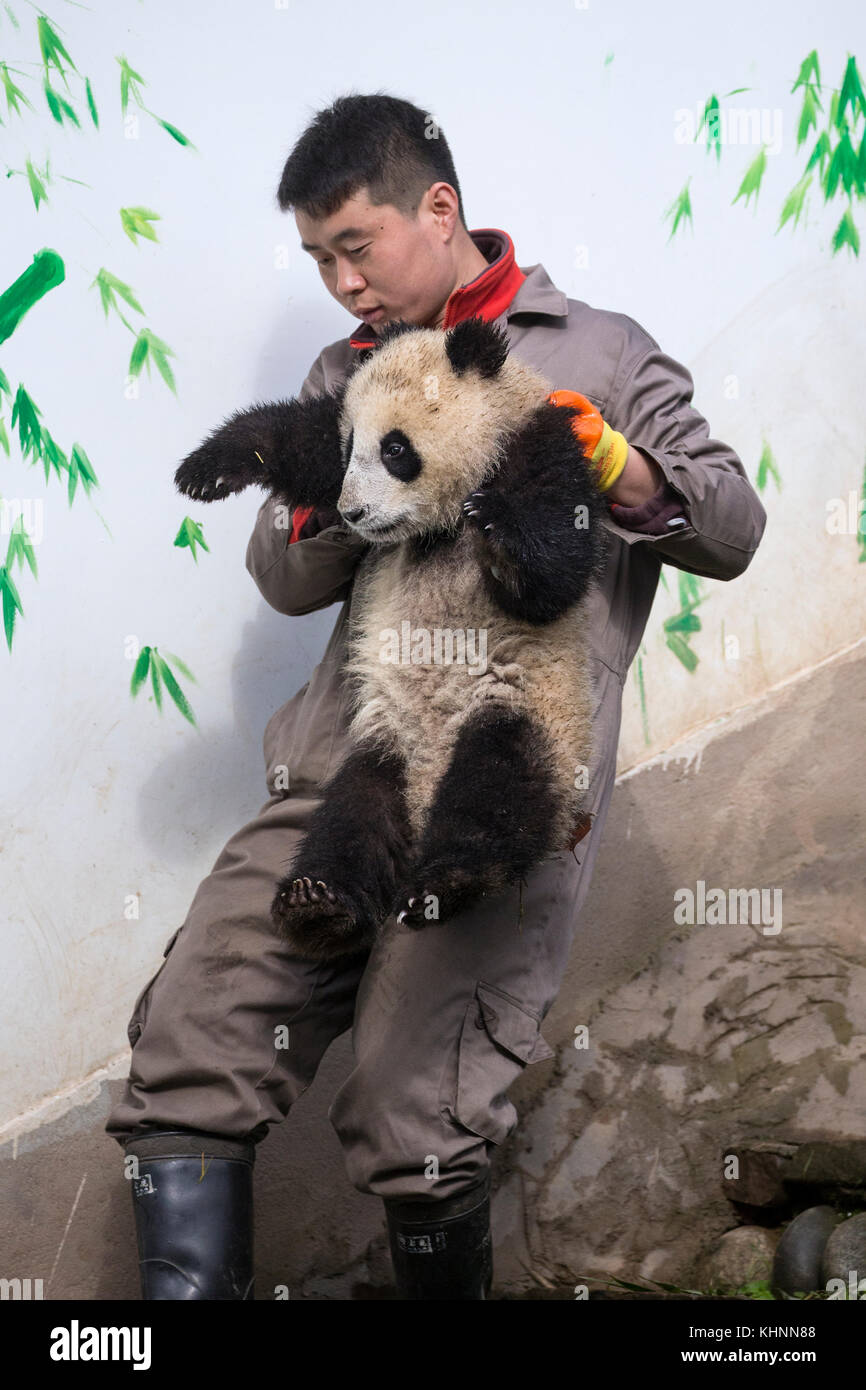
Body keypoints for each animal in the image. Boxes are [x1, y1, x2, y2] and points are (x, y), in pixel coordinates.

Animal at [174, 316, 608, 962]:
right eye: (352, 447)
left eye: (395, 449)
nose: (352, 512)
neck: (438, 524)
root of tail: (425, 788)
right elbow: (302, 440)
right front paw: (209, 467)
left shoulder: (542, 444)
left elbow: (553, 572)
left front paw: (497, 530)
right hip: (383, 739)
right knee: (354, 818)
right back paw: (318, 904)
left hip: (530, 708)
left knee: (500, 790)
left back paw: (446, 882)